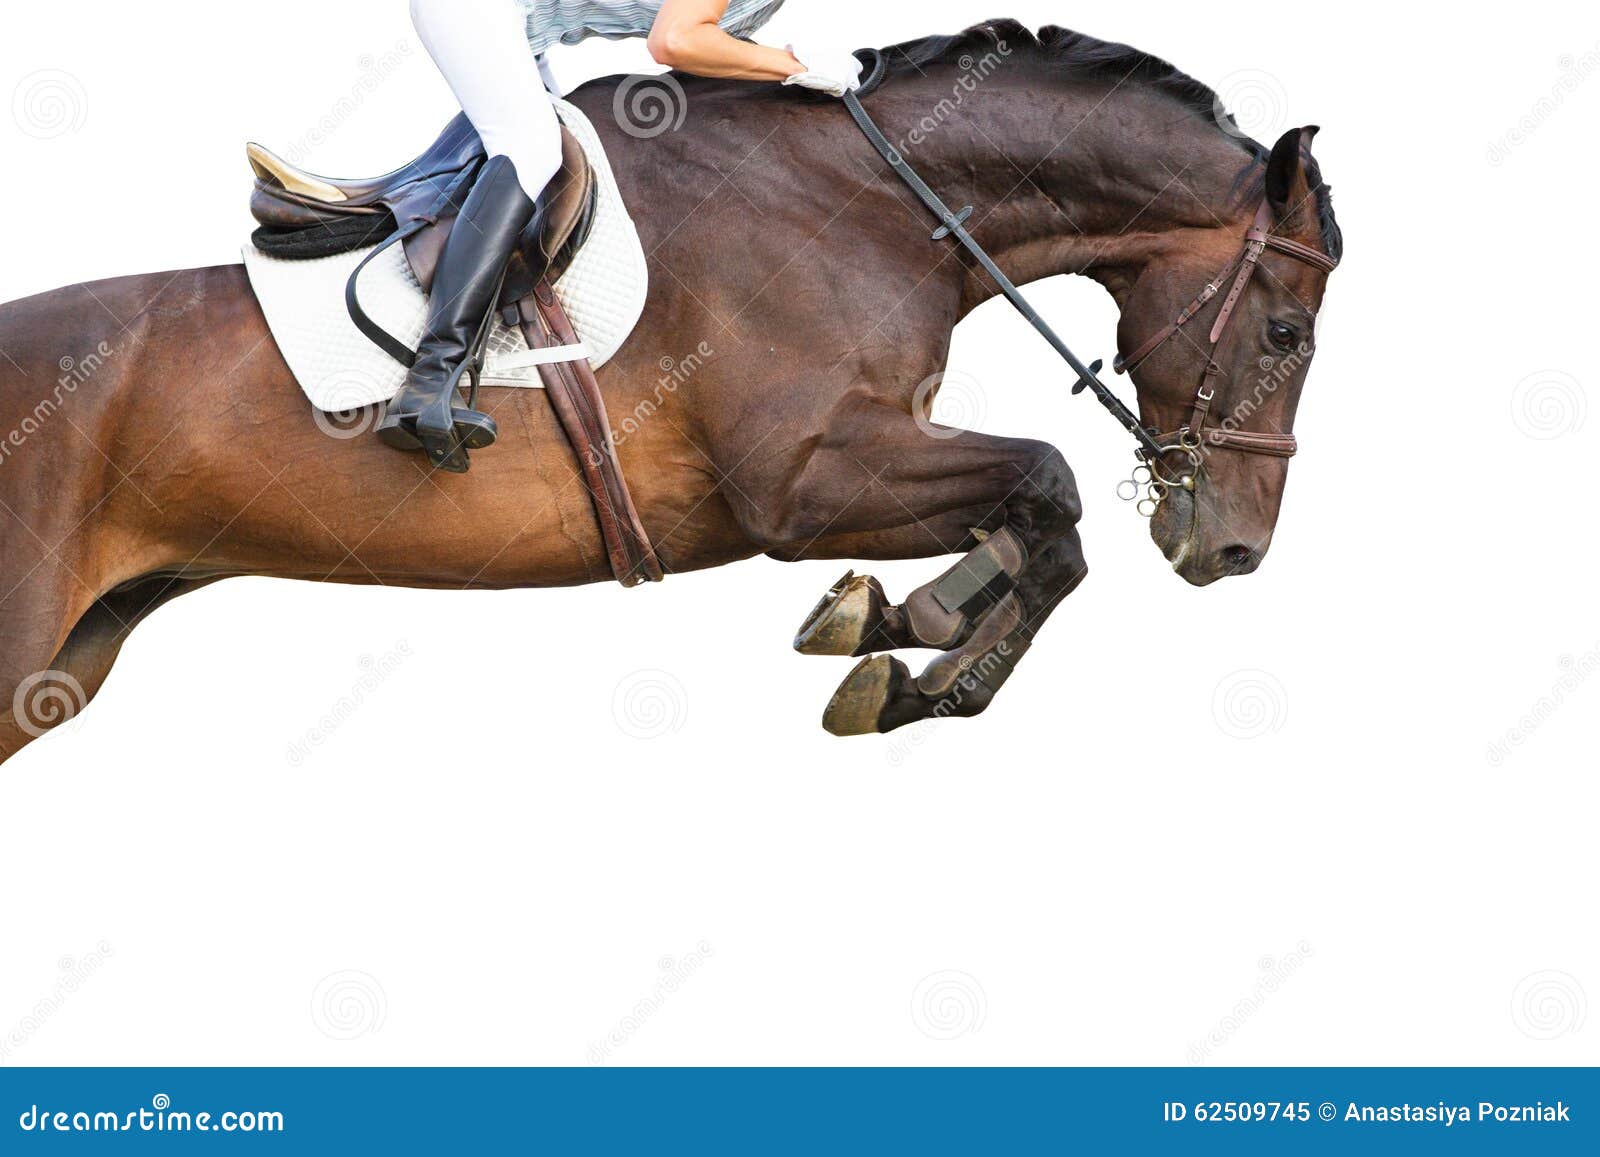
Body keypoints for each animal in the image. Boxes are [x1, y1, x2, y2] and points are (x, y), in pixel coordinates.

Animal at [0, 20, 1340, 763]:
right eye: (1284, 329)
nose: (1233, 548)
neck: (872, 200)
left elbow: (1031, 522)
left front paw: (894, 621)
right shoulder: (799, 484)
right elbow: (1048, 488)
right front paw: (898, 655)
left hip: (63, 660)